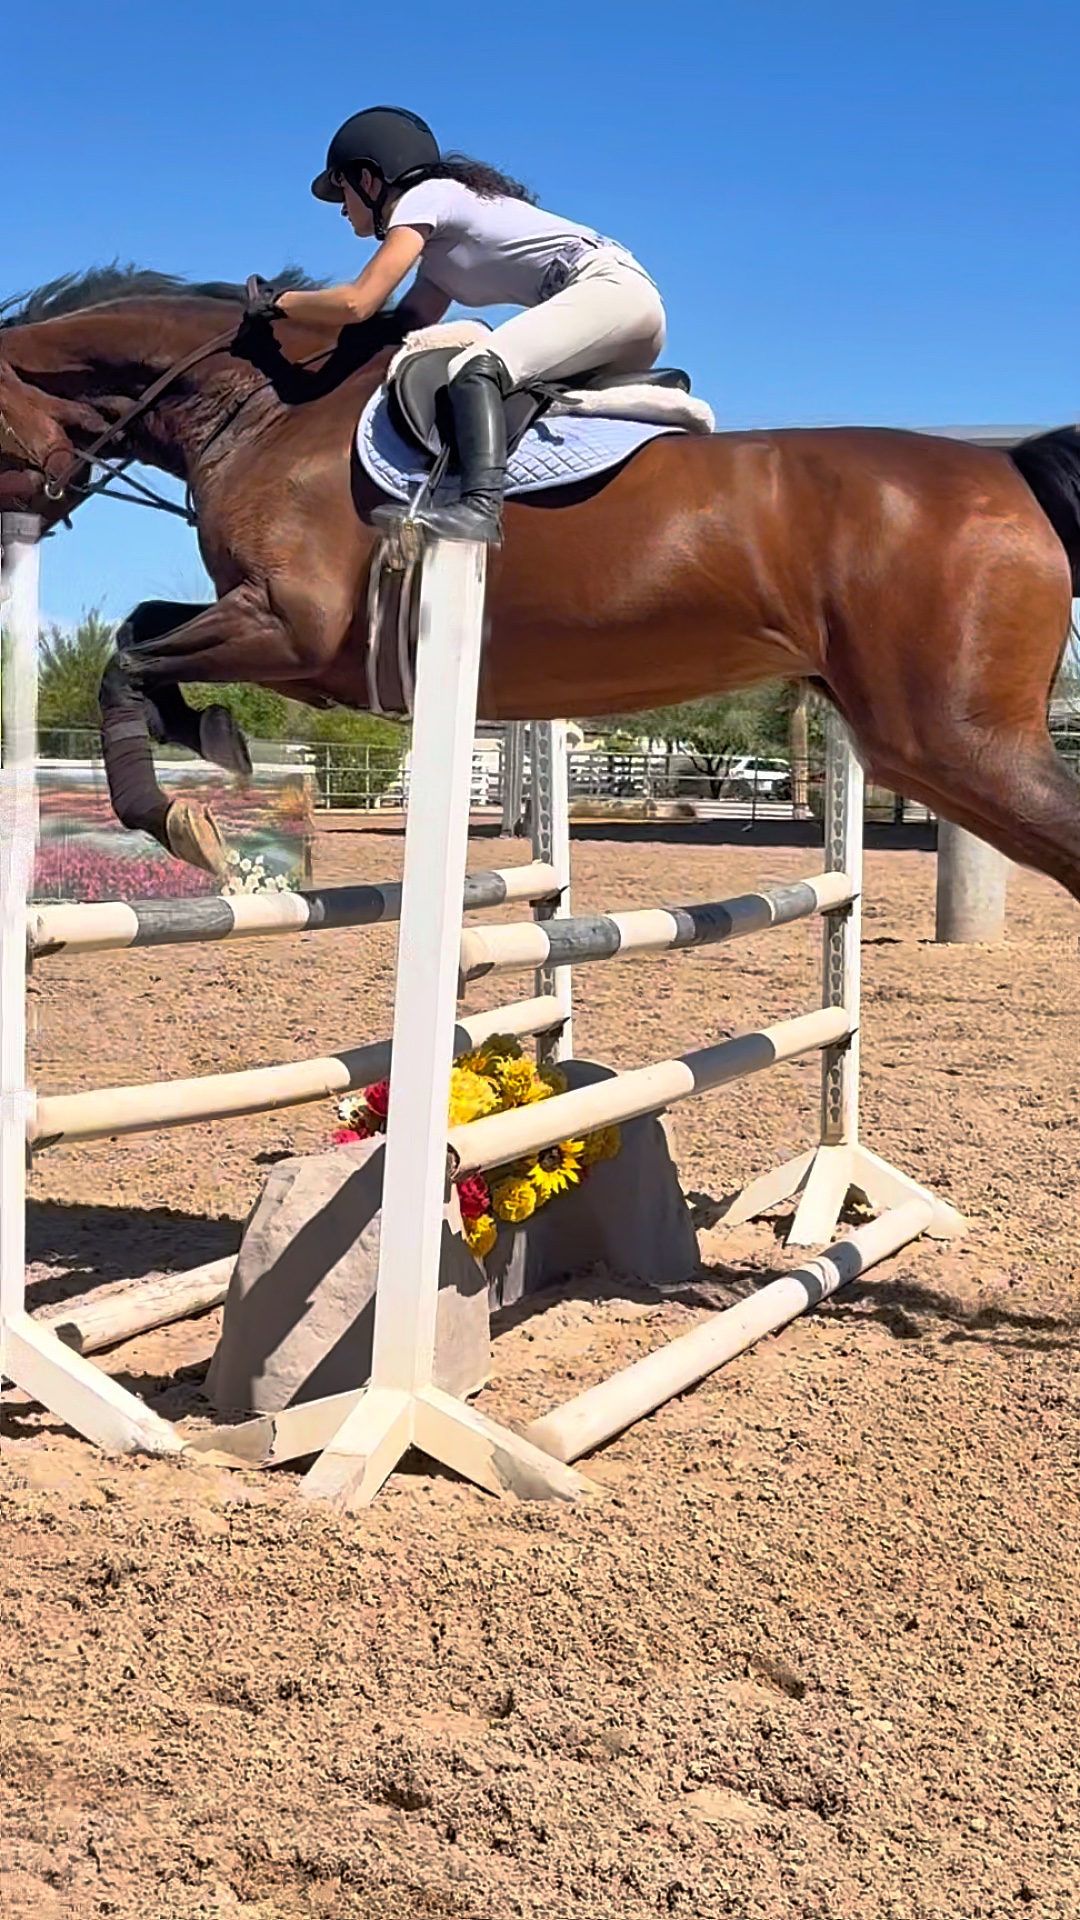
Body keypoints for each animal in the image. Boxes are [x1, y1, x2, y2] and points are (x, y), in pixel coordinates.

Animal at [1, 267, 1078, 904]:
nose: (16, 536)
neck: (265, 410)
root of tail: (1009, 468)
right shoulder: (288, 640)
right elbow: (140, 634)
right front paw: (208, 743)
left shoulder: (291, 630)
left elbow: (124, 661)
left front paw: (177, 818)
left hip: (953, 741)